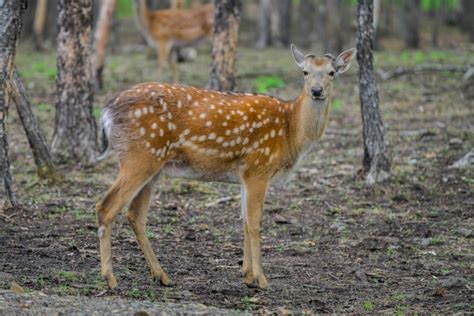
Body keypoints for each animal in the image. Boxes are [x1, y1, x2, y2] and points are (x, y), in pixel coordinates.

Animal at [96, 43, 356, 288]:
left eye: (332, 72)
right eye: (305, 72)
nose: (316, 91)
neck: (290, 130)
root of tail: (106, 111)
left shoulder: (245, 174)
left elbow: (244, 221)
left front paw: (247, 275)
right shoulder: (259, 167)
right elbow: (255, 223)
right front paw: (261, 280)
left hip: (154, 166)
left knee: (135, 214)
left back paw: (161, 275)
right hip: (139, 156)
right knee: (106, 206)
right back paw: (110, 278)